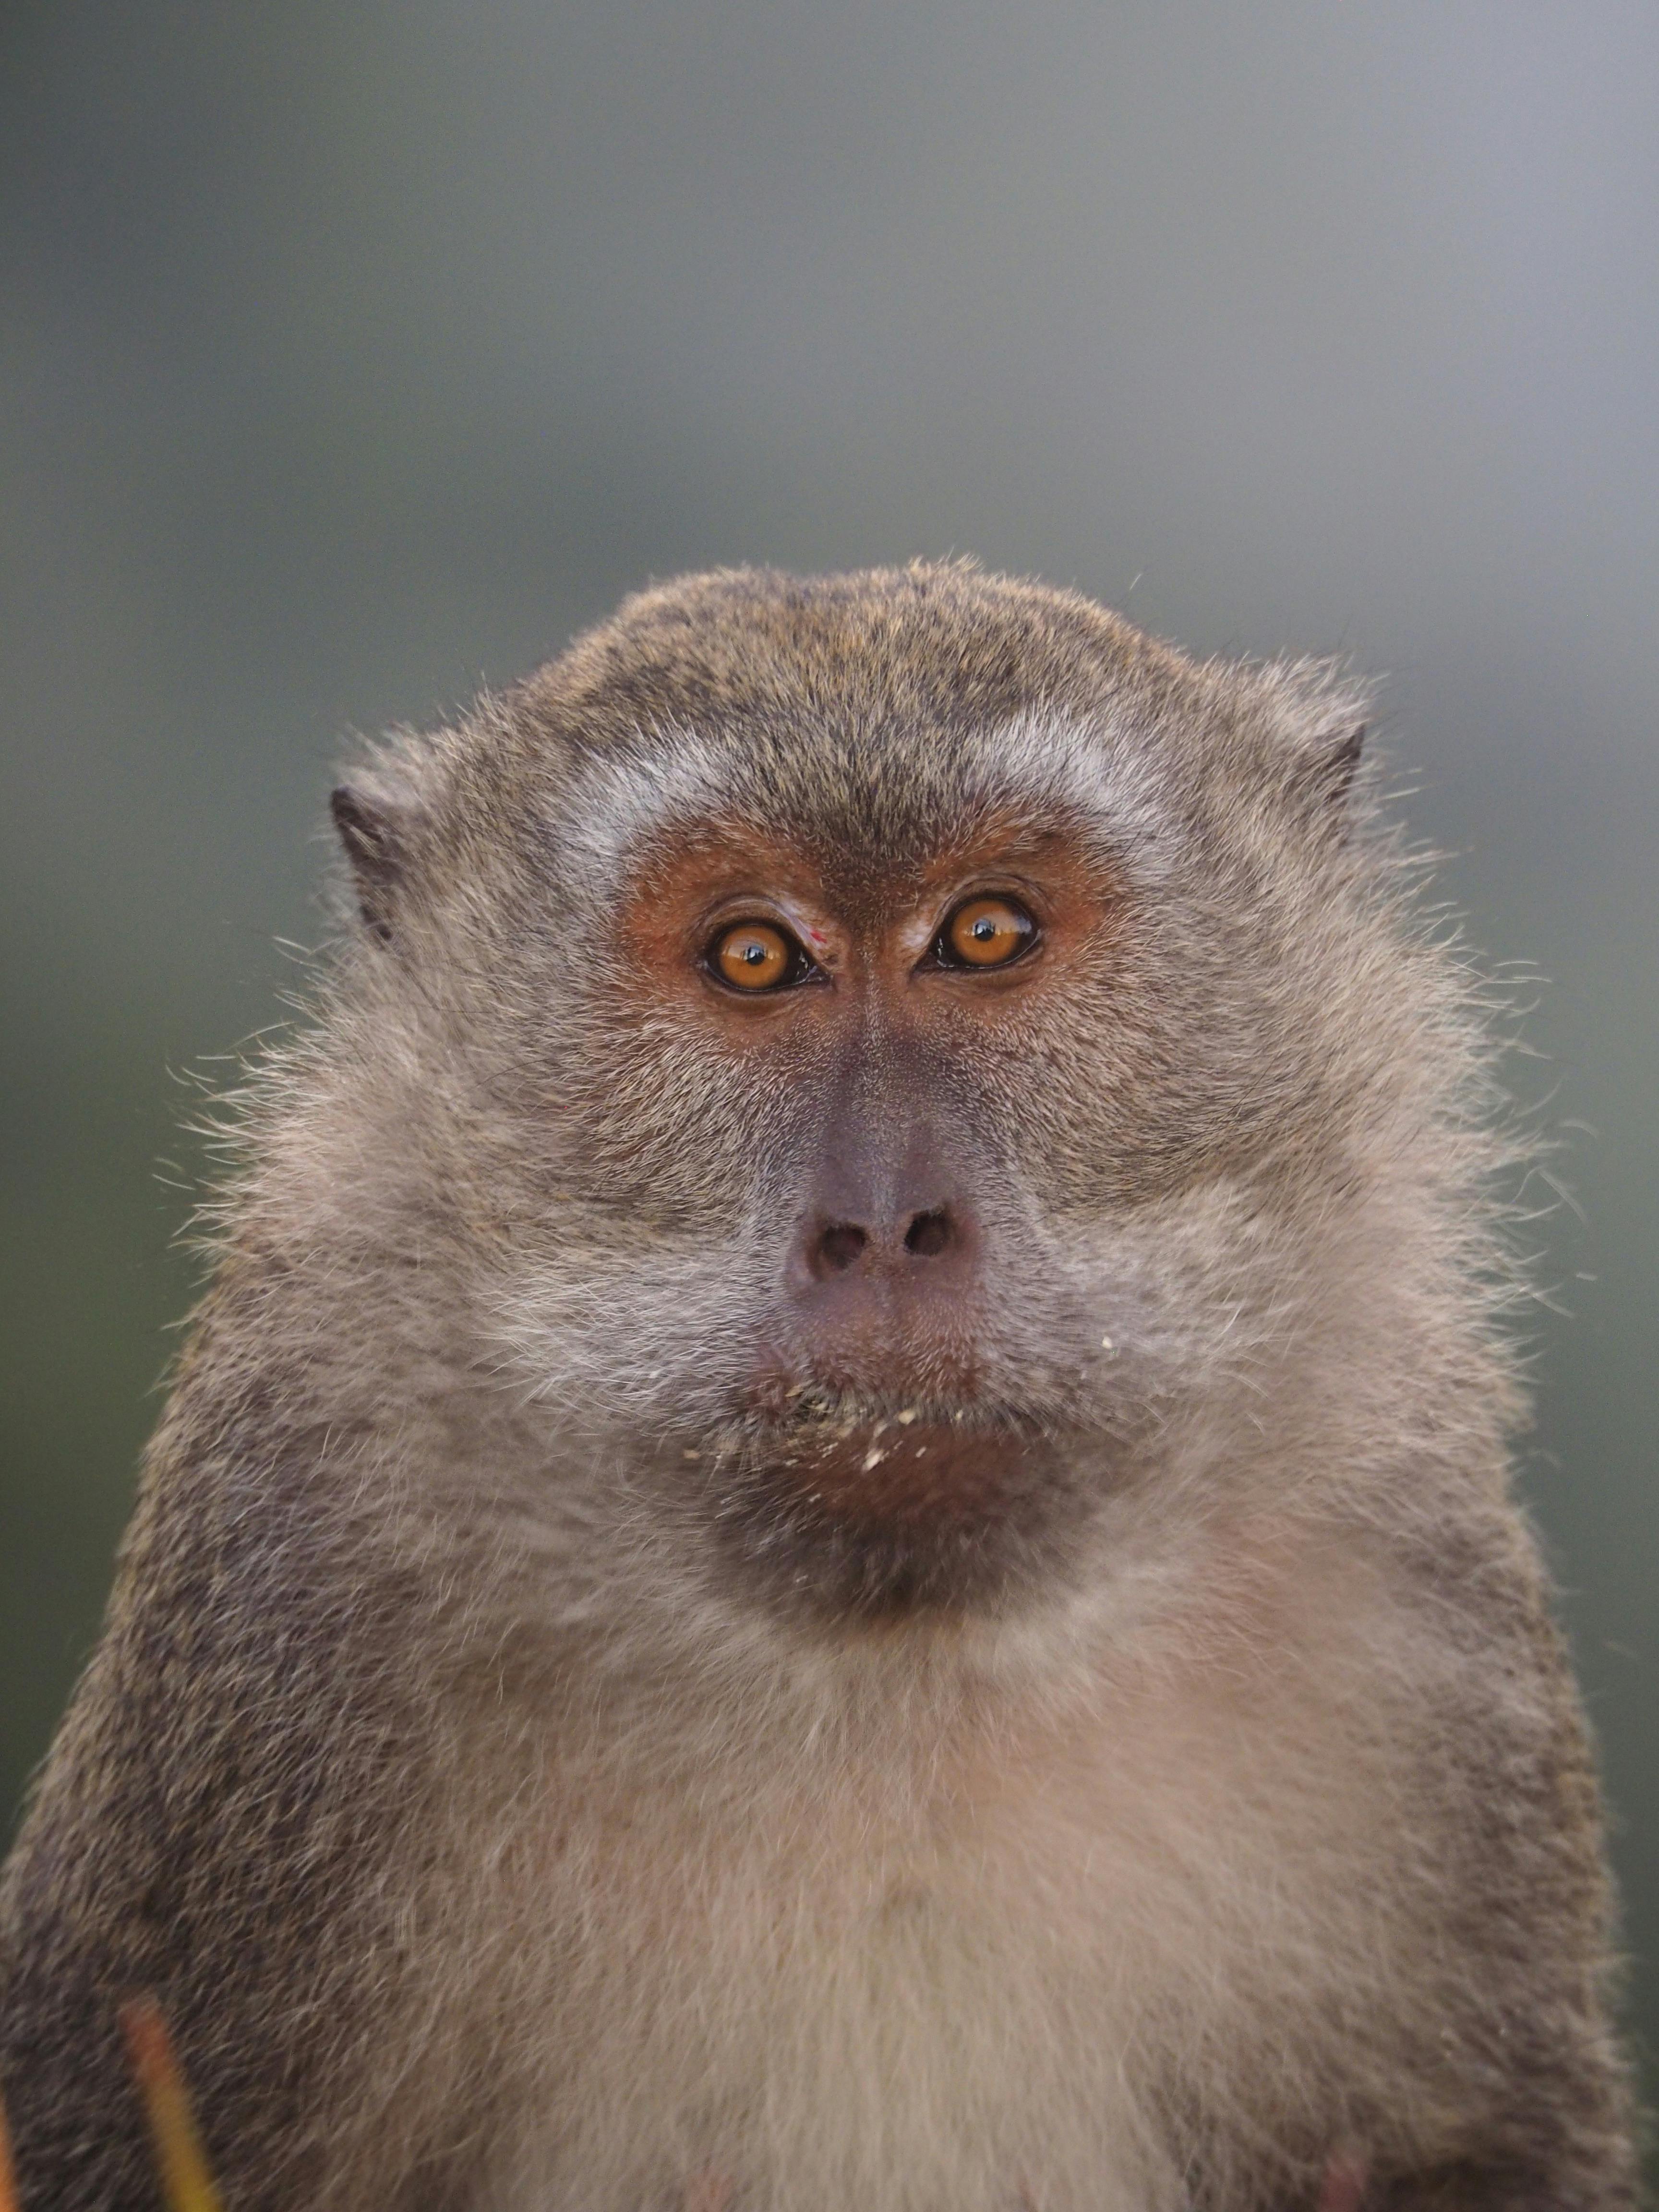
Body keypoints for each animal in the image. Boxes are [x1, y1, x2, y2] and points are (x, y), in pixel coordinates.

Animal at [0, 560, 1639, 2211]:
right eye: (753, 957)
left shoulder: (1414, 1603)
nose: (887, 1225)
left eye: (985, 933)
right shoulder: (283, 1587)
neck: (899, 1684)